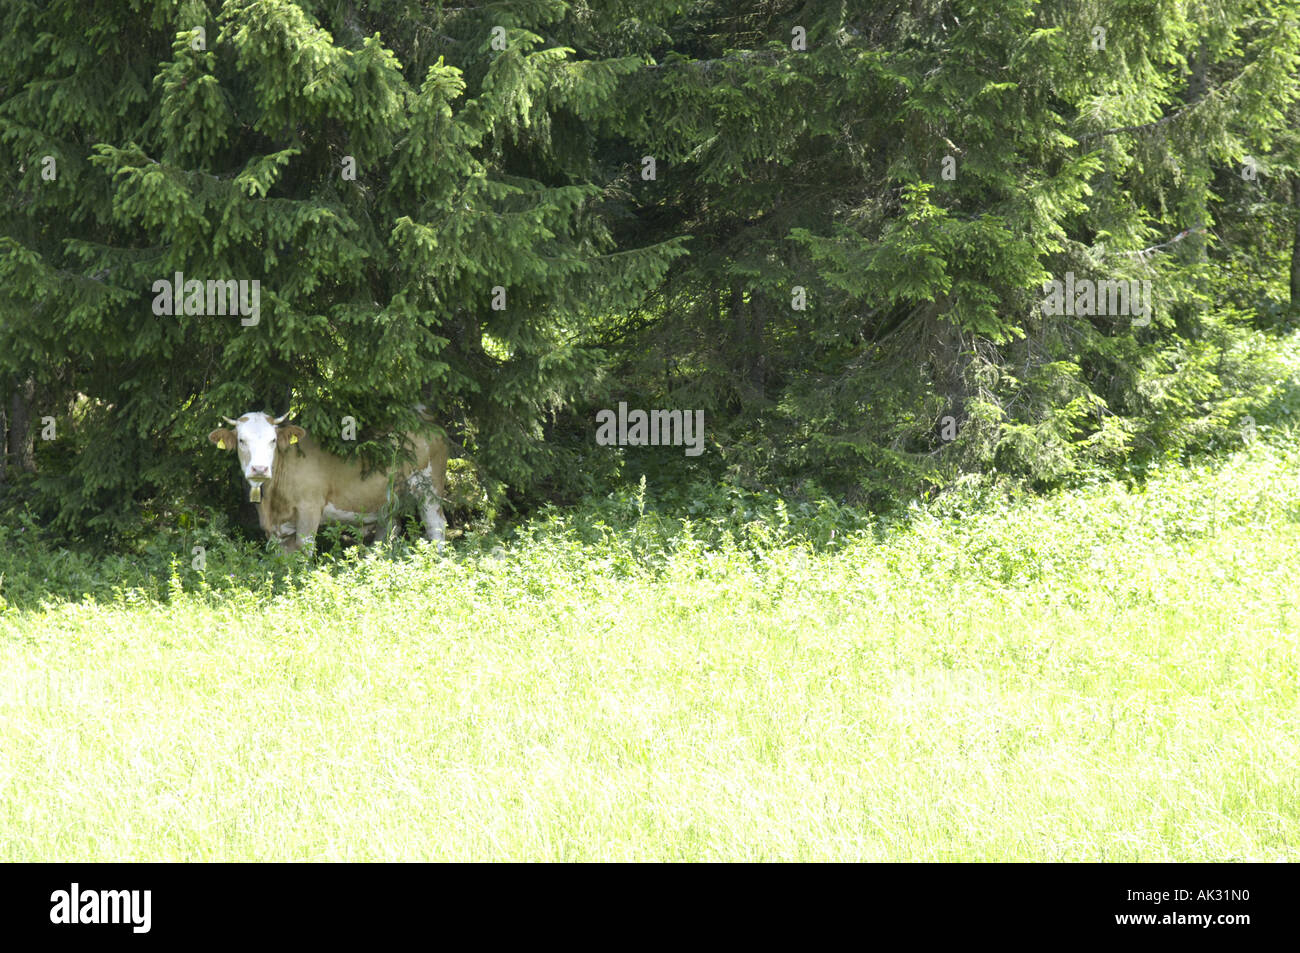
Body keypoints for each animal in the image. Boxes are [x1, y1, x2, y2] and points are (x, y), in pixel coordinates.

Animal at [208, 409, 448, 551]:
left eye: (273, 440)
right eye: (242, 440)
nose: (260, 468)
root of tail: (426, 419)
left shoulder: (309, 510)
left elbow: (304, 552)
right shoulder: (275, 529)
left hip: (430, 489)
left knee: (436, 526)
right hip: (388, 499)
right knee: (388, 530)